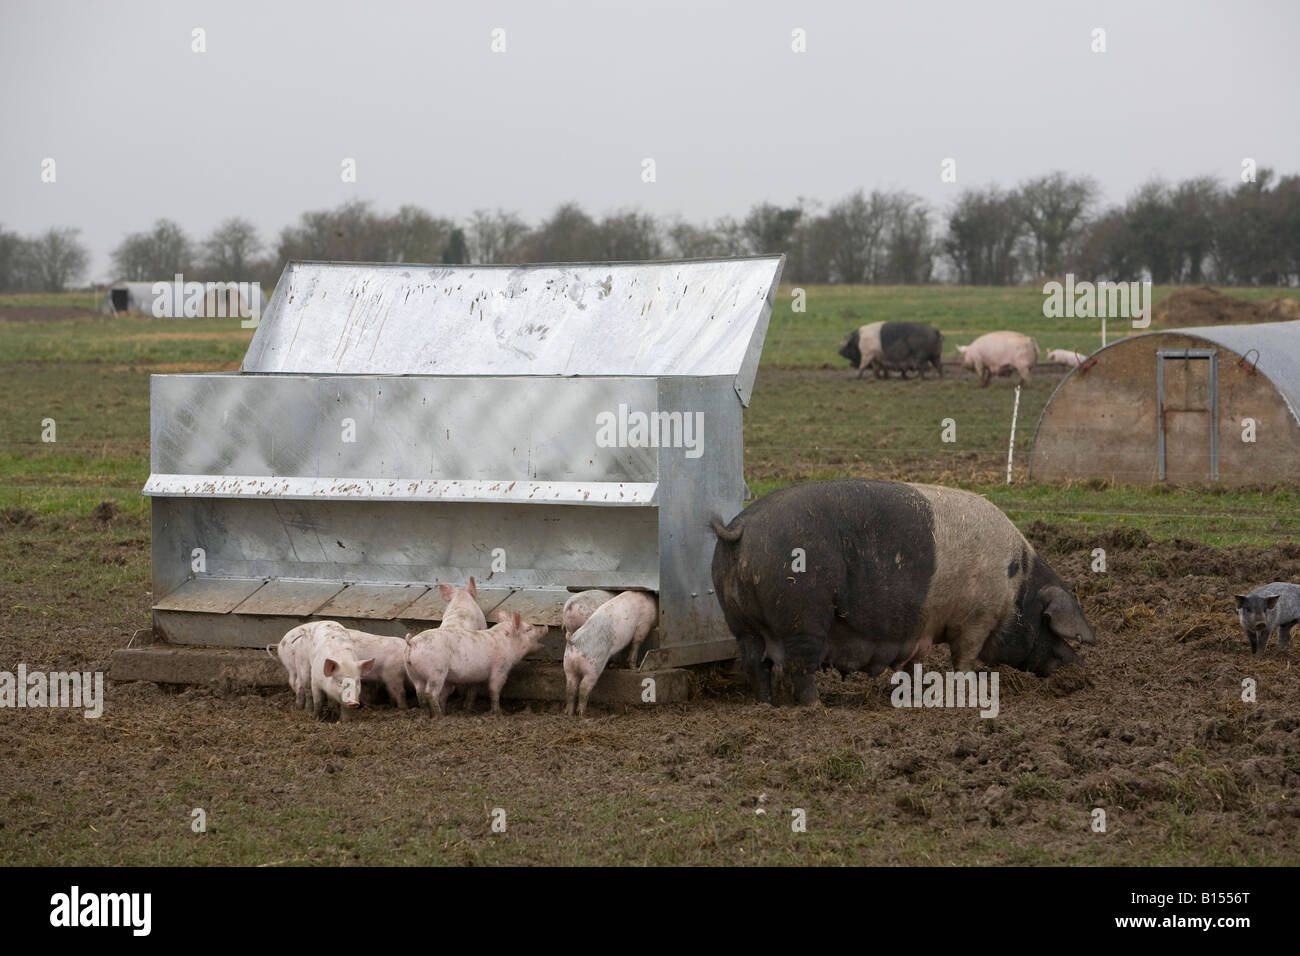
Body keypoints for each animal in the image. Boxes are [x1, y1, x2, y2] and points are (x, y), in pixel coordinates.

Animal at [404, 611, 547, 716]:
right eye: (528, 629)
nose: (545, 626)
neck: (507, 643)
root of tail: (411, 643)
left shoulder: (476, 676)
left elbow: (472, 691)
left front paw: (467, 710)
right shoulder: (501, 668)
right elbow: (494, 689)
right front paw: (498, 713)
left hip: (413, 673)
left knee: (420, 693)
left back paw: (428, 714)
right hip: (436, 671)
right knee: (430, 693)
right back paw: (439, 717)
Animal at [710, 479, 1094, 706]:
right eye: (1051, 628)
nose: (1079, 668)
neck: (1016, 588)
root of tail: (742, 527)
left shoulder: (921, 629)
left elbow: (915, 663)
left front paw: (915, 693)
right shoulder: (977, 618)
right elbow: (965, 657)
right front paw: (966, 688)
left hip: (739, 621)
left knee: (755, 663)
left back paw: (766, 704)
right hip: (803, 614)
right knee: (799, 666)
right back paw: (816, 706)